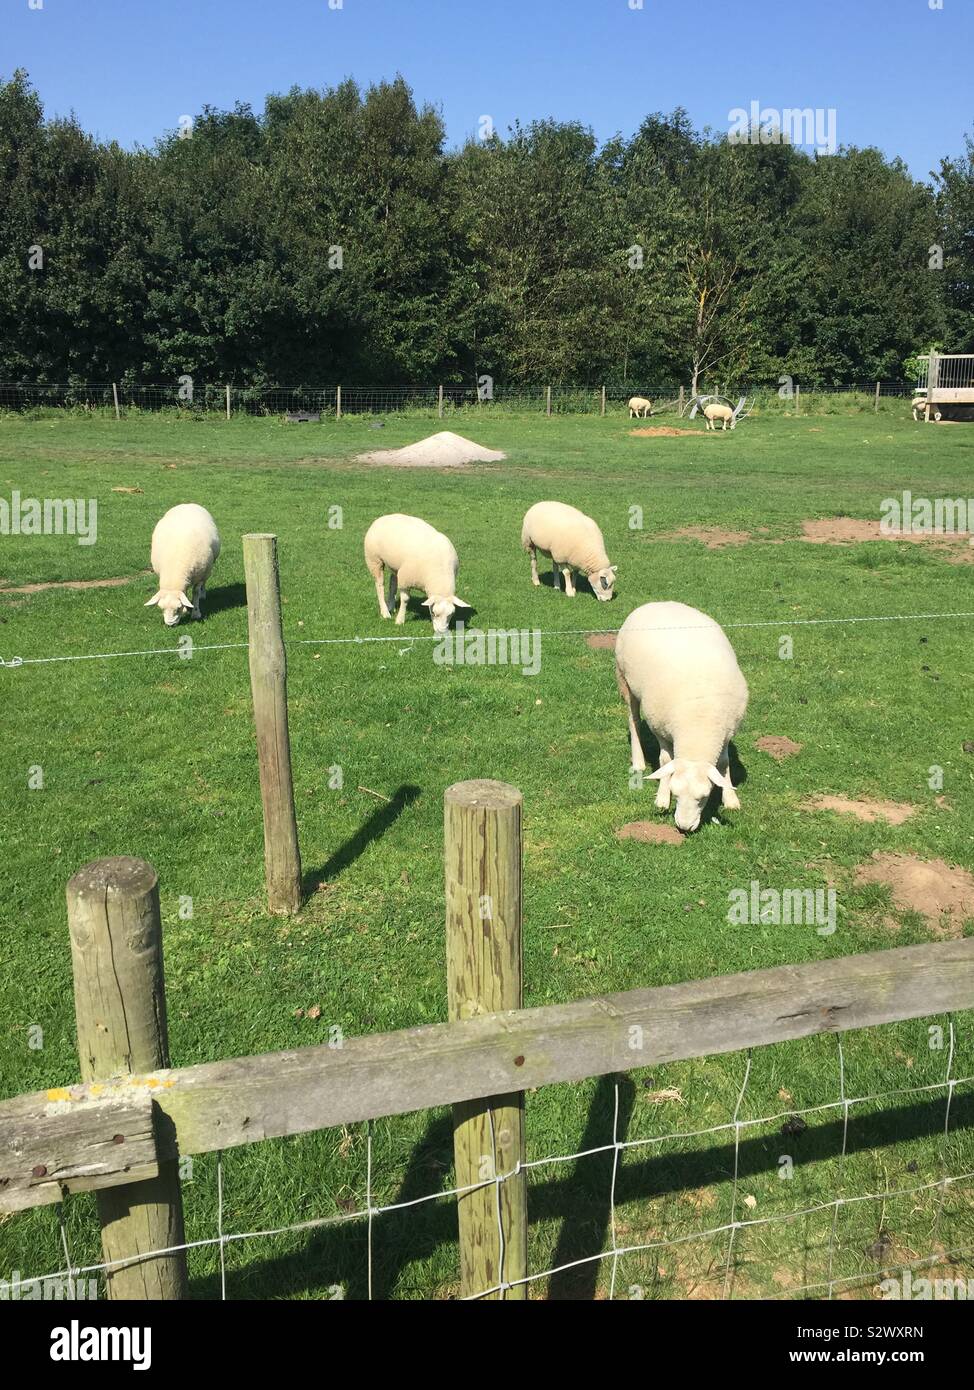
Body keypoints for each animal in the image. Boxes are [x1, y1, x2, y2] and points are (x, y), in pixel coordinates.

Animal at [615, 600, 748, 832]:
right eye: (676, 795)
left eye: (703, 798)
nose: (684, 827)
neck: (698, 723)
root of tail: (655, 603)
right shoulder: (659, 727)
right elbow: (665, 760)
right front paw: (661, 798)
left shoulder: (727, 731)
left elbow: (724, 763)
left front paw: (730, 799)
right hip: (625, 680)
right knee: (633, 720)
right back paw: (638, 761)